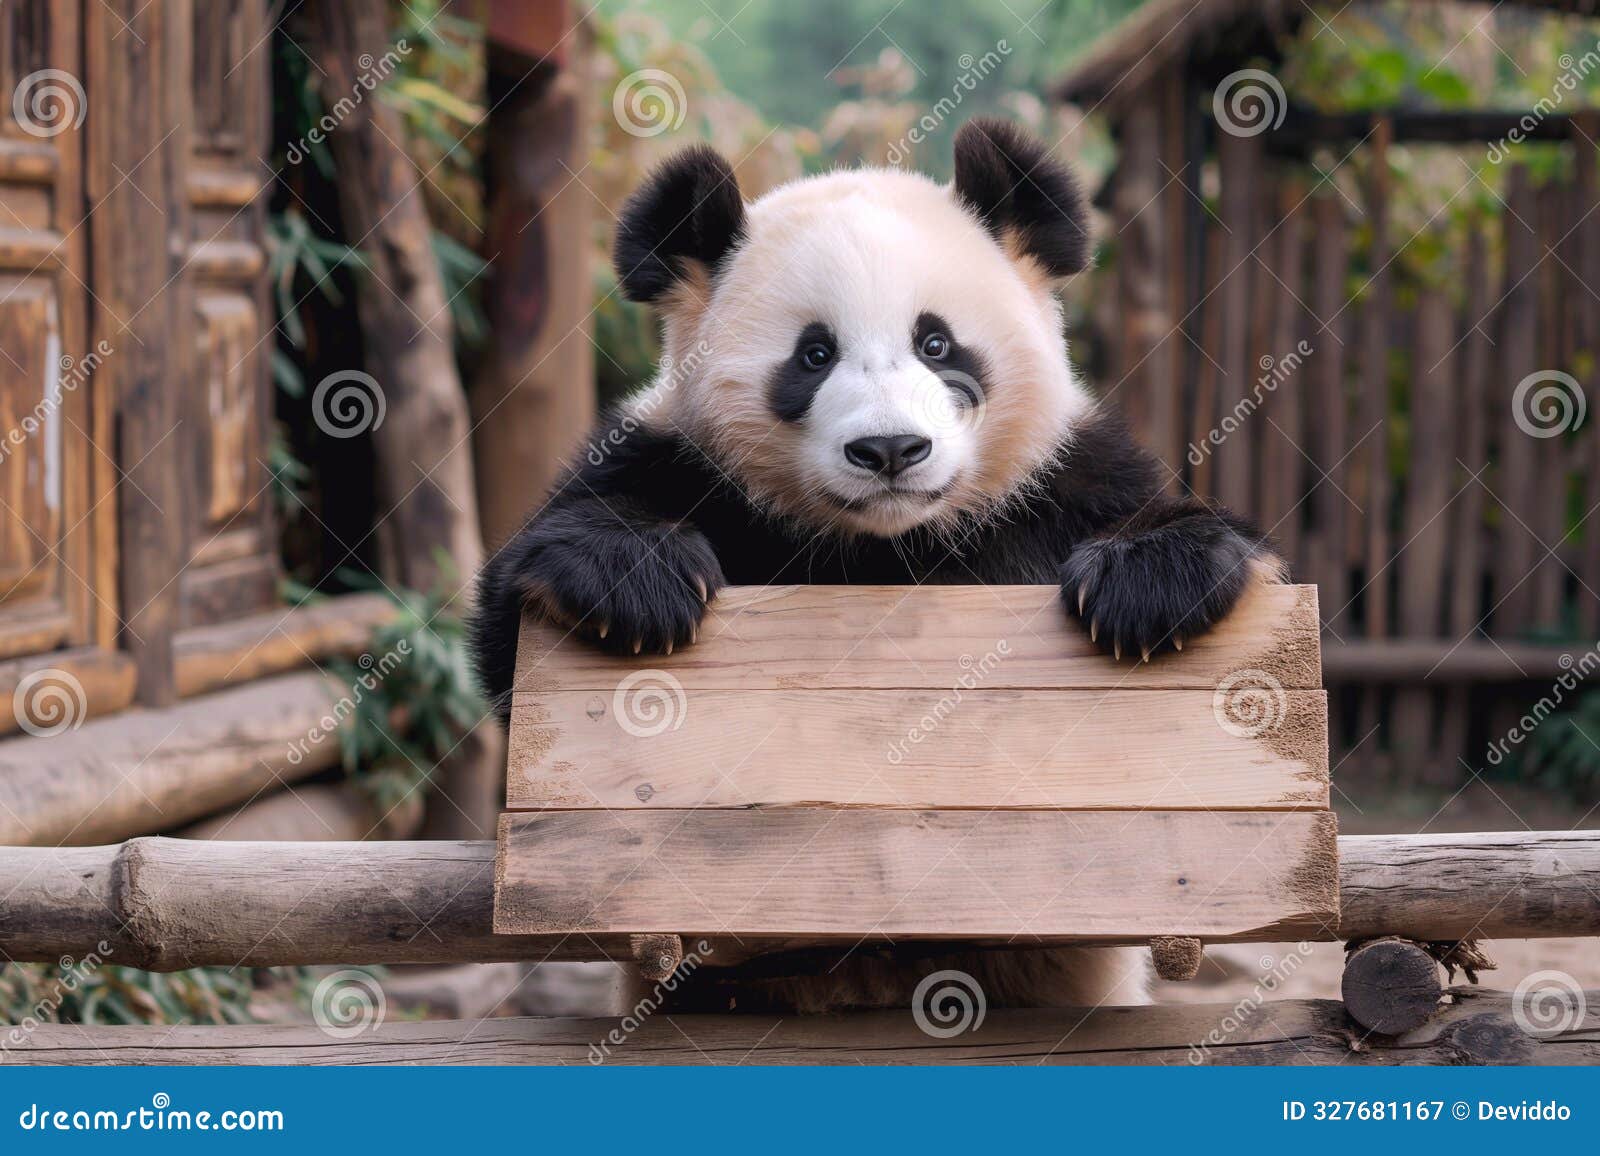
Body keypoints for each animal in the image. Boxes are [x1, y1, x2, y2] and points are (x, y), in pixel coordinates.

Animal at [470, 117, 1284, 1013]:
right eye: (813, 355)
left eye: (936, 342)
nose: (891, 449)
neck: (890, 545)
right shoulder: (675, 463)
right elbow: (512, 642)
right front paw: (637, 583)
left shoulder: (1058, 484)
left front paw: (1148, 585)